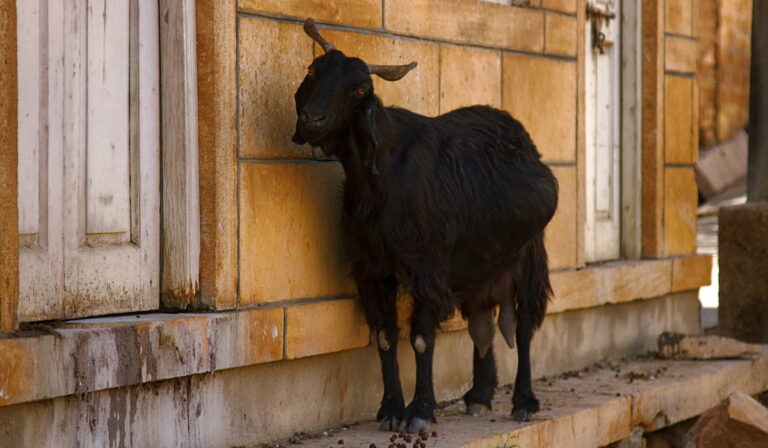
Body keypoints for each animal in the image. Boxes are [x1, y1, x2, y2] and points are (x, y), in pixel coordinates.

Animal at [292, 18, 558, 433]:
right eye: (313, 71)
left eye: (360, 90)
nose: (311, 121)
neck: (379, 178)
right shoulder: (372, 269)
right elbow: (385, 337)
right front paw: (390, 409)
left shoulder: (426, 266)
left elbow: (420, 338)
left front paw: (418, 411)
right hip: (476, 267)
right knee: (482, 322)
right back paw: (478, 396)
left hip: (530, 254)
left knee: (526, 324)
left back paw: (524, 402)